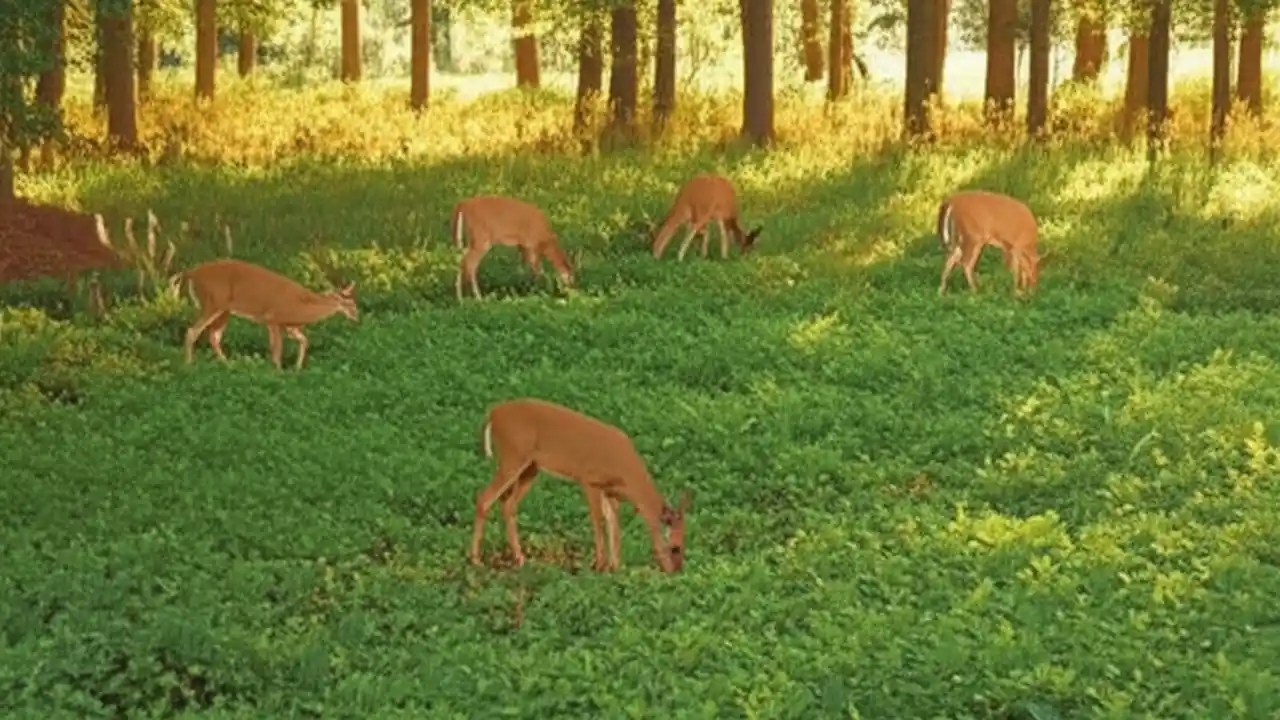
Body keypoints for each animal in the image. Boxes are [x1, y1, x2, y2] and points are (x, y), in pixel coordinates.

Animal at [169, 258, 358, 370]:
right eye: (349, 303)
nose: (356, 316)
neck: (300, 306)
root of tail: (191, 272)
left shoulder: (289, 326)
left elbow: (304, 341)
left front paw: (296, 368)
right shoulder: (273, 318)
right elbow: (277, 348)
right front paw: (278, 370)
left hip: (224, 310)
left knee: (214, 336)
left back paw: (228, 364)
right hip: (212, 302)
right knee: (193, 331)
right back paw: (189, 364)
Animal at [470, 398, 691, 574]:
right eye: (675, 547)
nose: (676, 570)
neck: (627, 475)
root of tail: (492, 414)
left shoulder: (609, 492)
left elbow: (613, 523)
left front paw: (615, 567)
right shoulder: (589, 480)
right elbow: (598, 521)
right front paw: (600, 565)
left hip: (531, 467)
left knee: (508, 504)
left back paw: (519, 557)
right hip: (512, 456)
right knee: (484, 498)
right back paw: (475, 559)